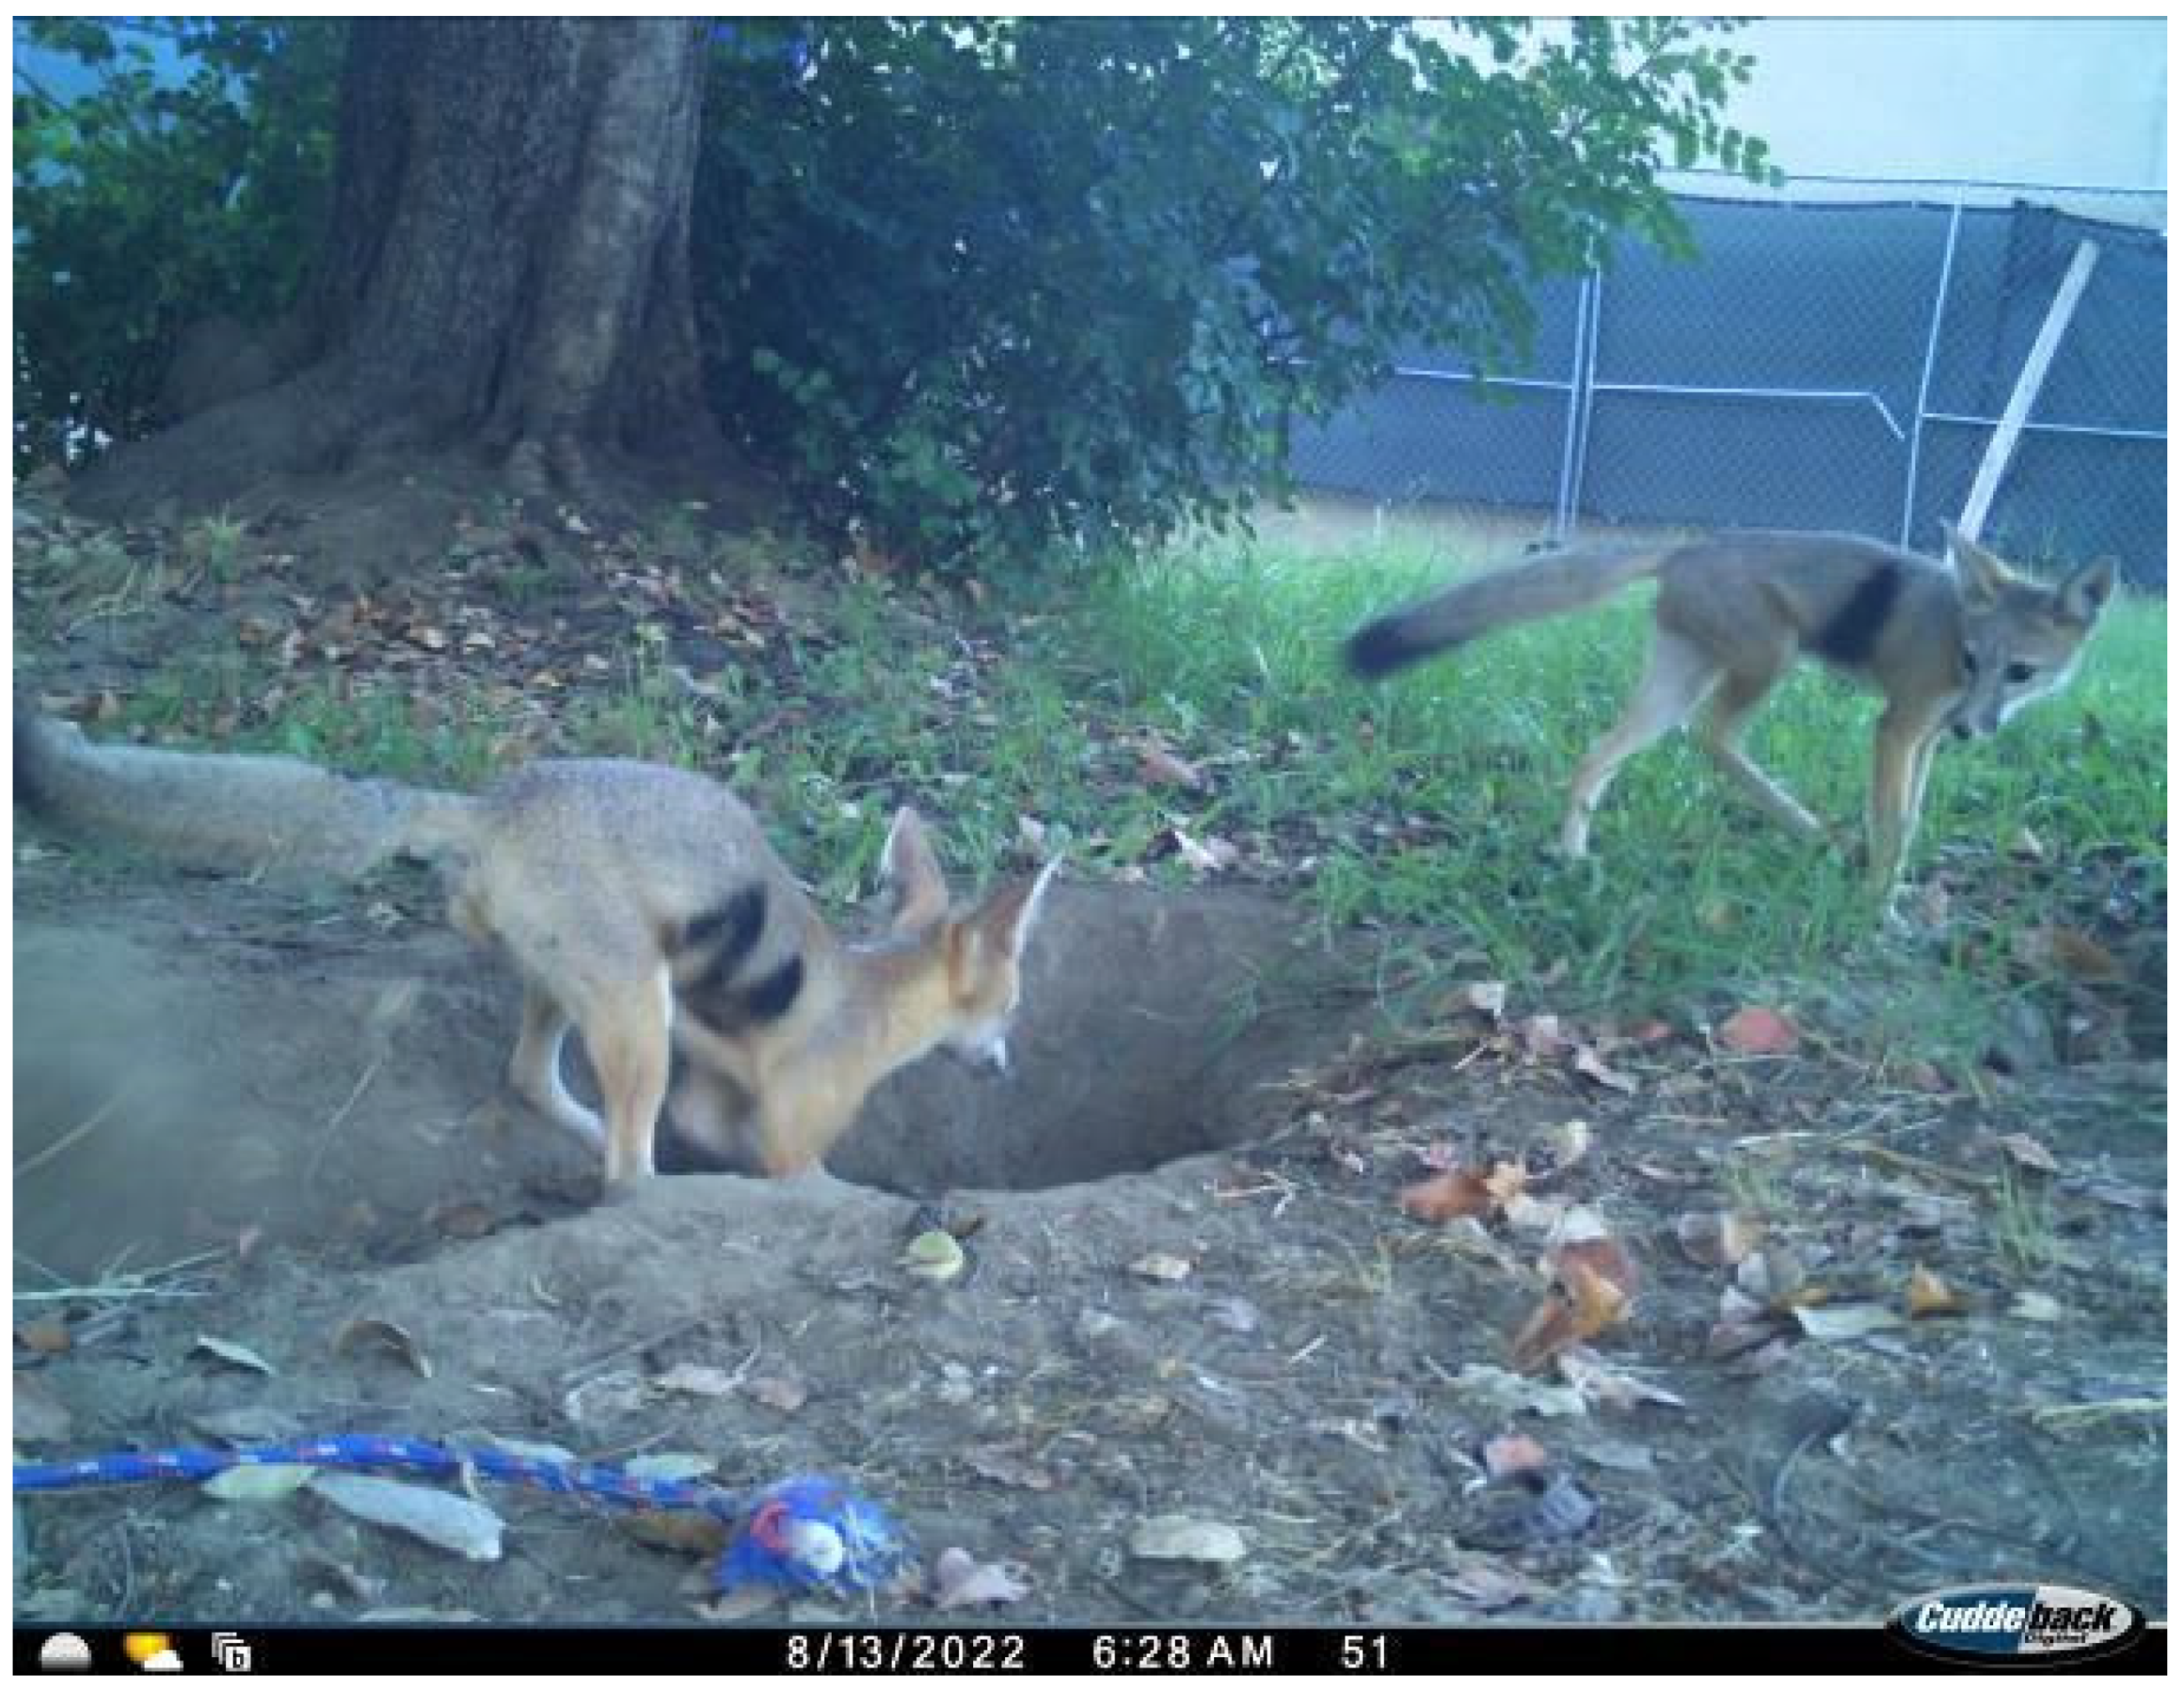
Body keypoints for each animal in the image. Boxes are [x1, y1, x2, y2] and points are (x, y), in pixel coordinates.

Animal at [14, 709, 1057, 1189]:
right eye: (1010, 1009)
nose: (1008, 1067)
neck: (867, 993)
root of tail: (491, 805)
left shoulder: (720, 1099)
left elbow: (717, 1130)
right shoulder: (795, 1135)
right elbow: (813, 1180)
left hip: (582, 991)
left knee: (531, 1080)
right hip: (639, 1006)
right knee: (625, 1170)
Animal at [1345, 524, 2118, 896]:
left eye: (2019, 672)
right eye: (1972, 659)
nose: (1969, 730)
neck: (1950, 623)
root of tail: (1689, 544)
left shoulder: (1924, 738)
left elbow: (1912, 820)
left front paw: (1890, 891)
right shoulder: (1899, 728)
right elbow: (1893, 823)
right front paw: (1880, 906)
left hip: (1675, 689)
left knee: (1599, 758)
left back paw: (1573, 856)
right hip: (1764, 663)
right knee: (1713, 738)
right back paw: (1812, 833)